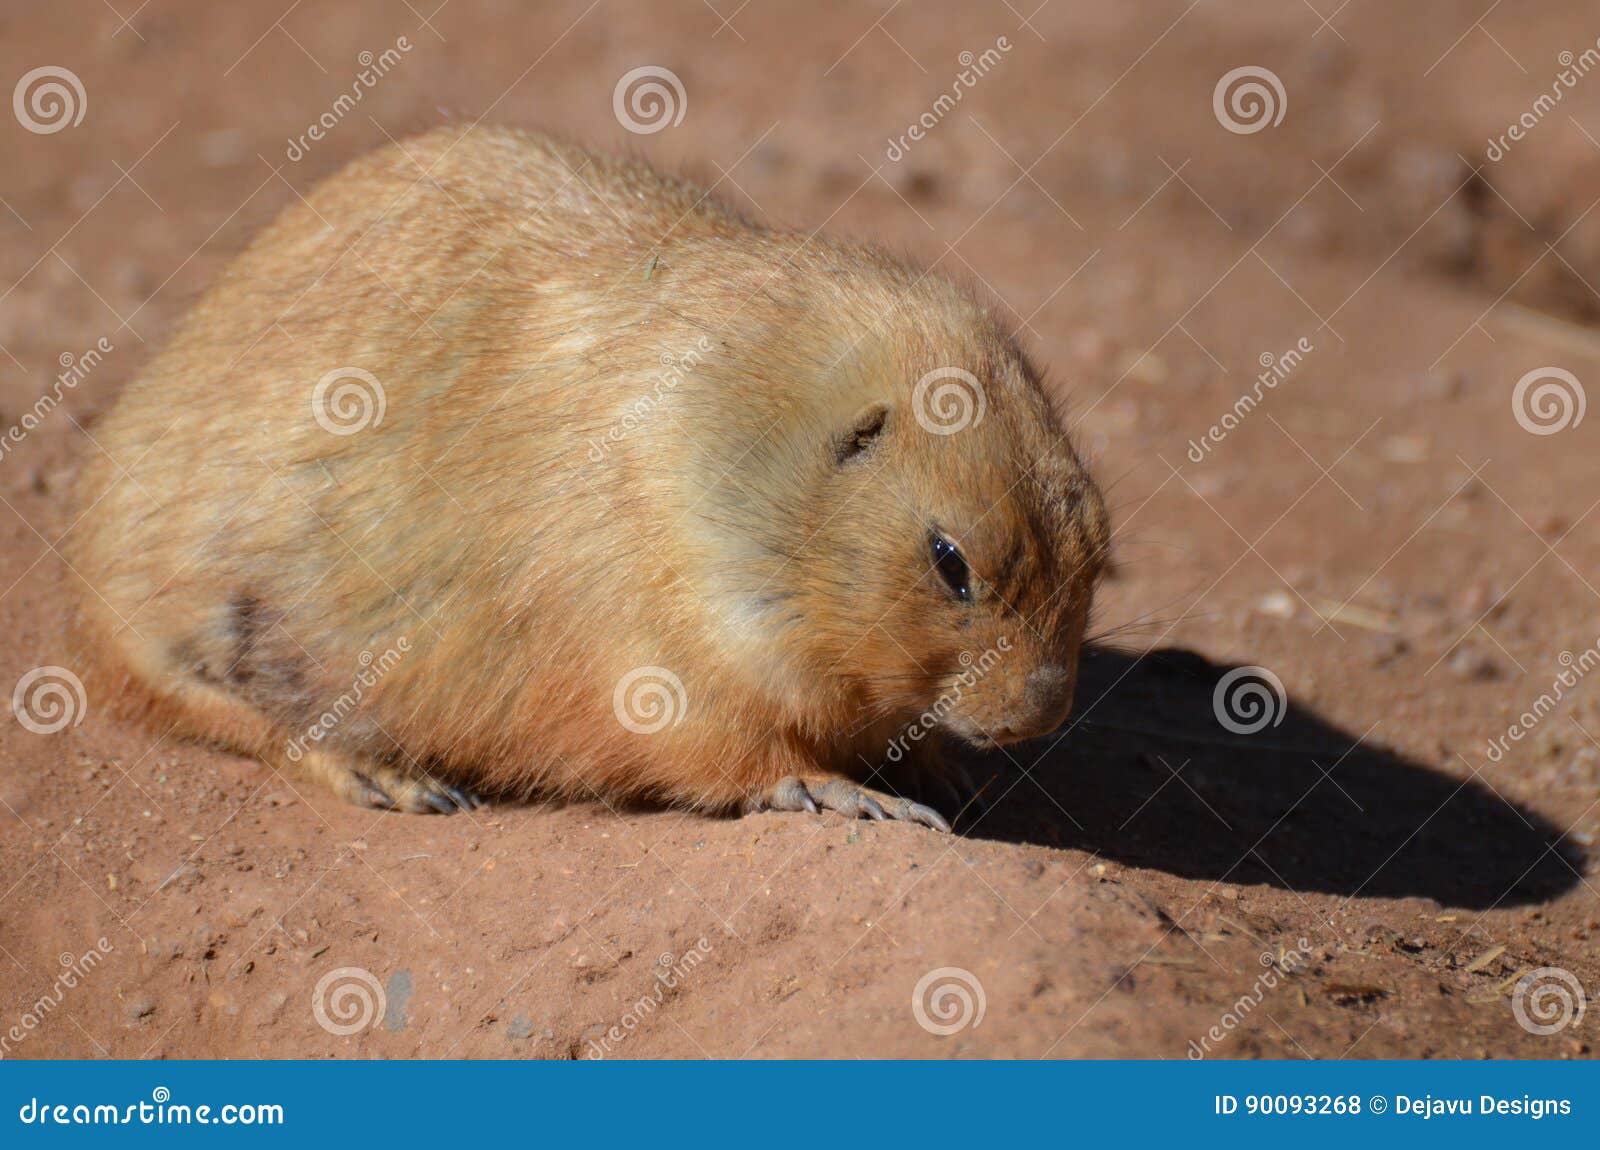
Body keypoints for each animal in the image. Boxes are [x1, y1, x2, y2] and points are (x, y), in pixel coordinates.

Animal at [67, 125, 1109, 831]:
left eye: (1102, 545)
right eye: (950, 560)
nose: (1037, 718)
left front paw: (941, 768)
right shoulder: (650, 623)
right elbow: (717, 745)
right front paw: (850, 793)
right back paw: (395, 778)